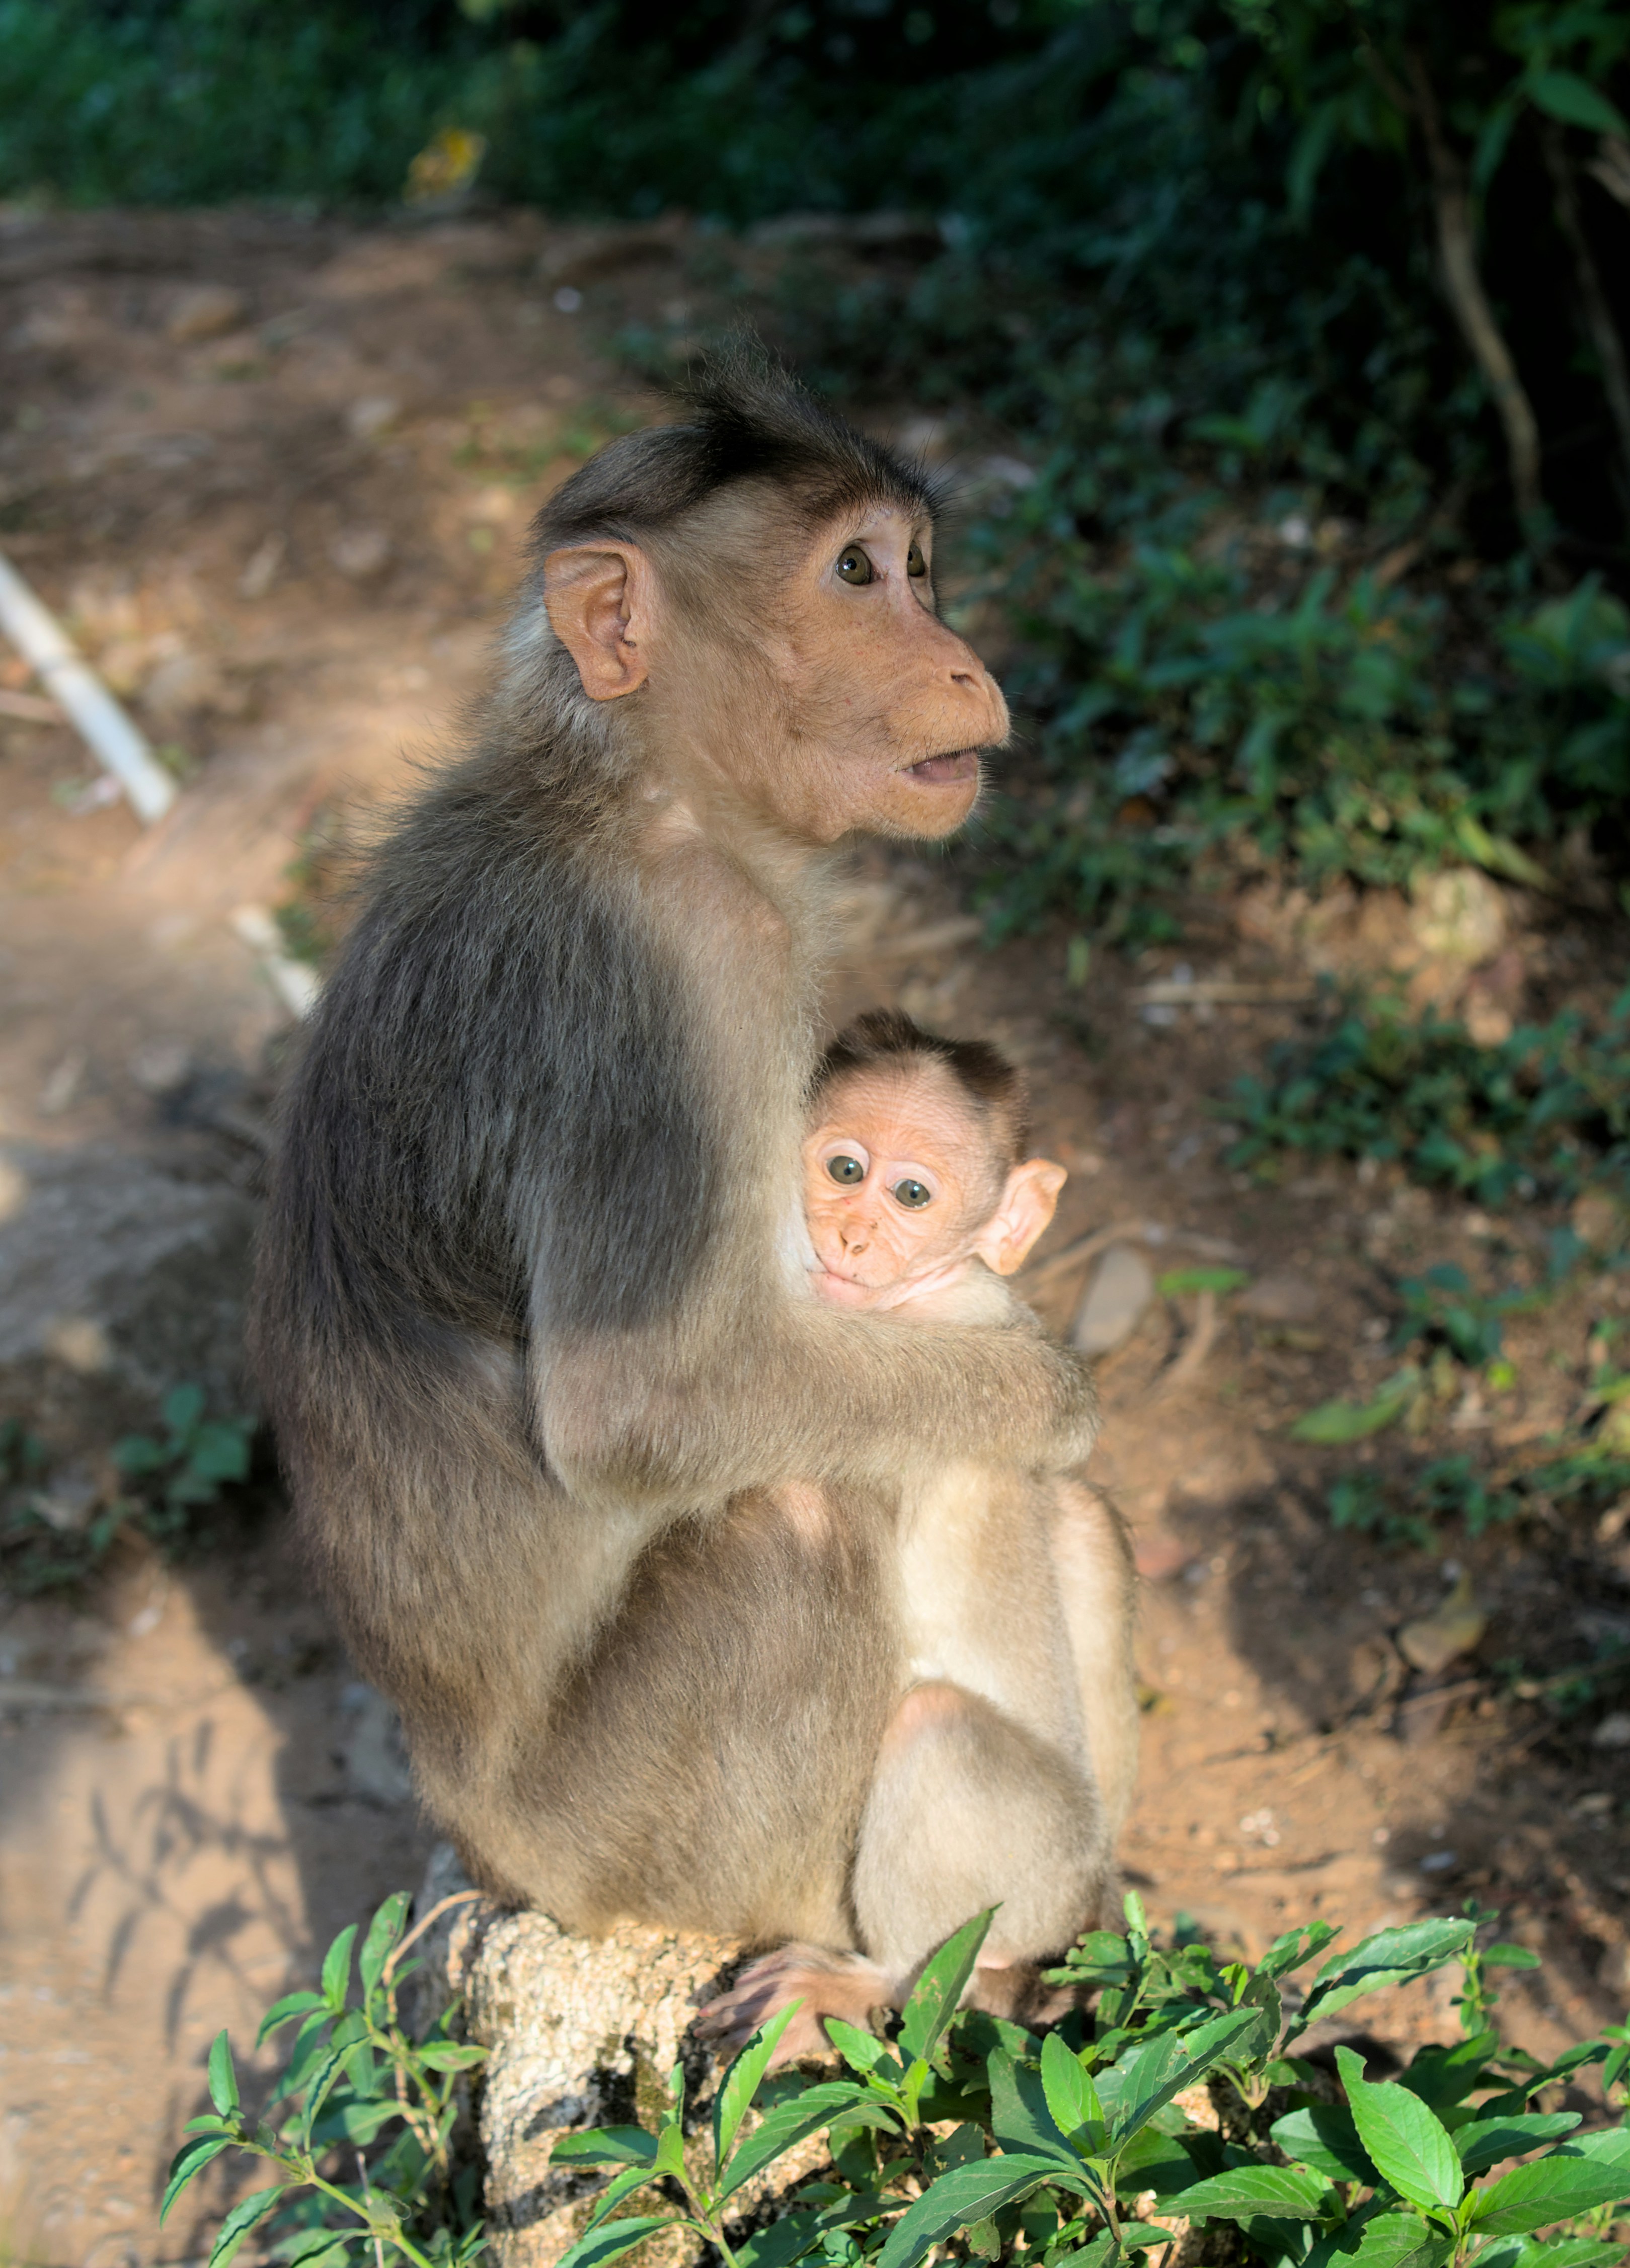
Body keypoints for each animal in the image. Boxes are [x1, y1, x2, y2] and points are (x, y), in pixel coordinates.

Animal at [694, 1010, 1138, 2052]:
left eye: (909, 1194)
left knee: (936, 1726)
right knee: (1079, 1515)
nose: (851, 1234)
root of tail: (1082, 1891)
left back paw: (871, 1979)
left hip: (1029, 1869)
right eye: (843, 1169)